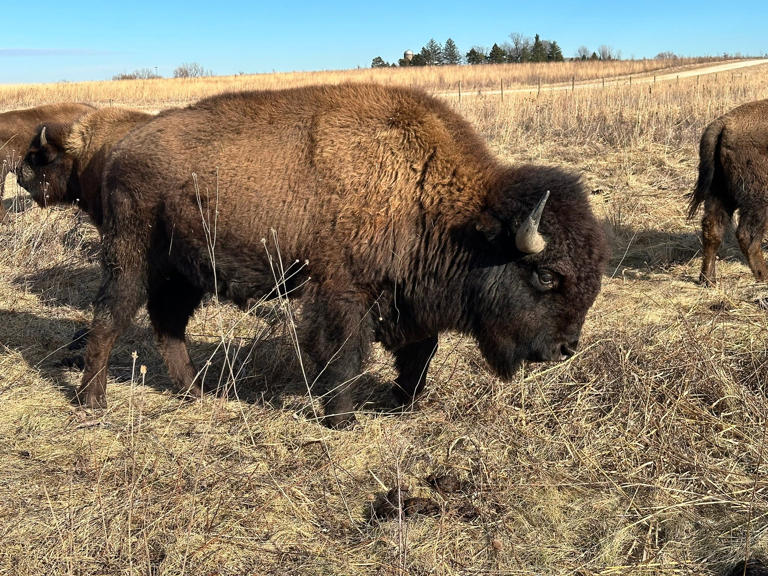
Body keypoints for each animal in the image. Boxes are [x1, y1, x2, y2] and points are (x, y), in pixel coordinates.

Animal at [79, 83, 607, 427]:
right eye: (546, 275)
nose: (566, 348)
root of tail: (122, 146)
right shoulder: (343, 292)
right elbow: (344, 353)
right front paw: (342, 419)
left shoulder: (407, 300)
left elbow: (421, 351)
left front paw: (403, 402)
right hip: (132, 257)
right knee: (110, 316)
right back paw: (93, 400)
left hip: (184, 273)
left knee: (168, 325)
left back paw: (193, 391)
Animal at [688, 99, 768, 286]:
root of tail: (723, 123)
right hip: (759, 197)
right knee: (747, 235)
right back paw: (764, 276)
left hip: (720, 192)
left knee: (712, 228)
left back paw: (708, 280)